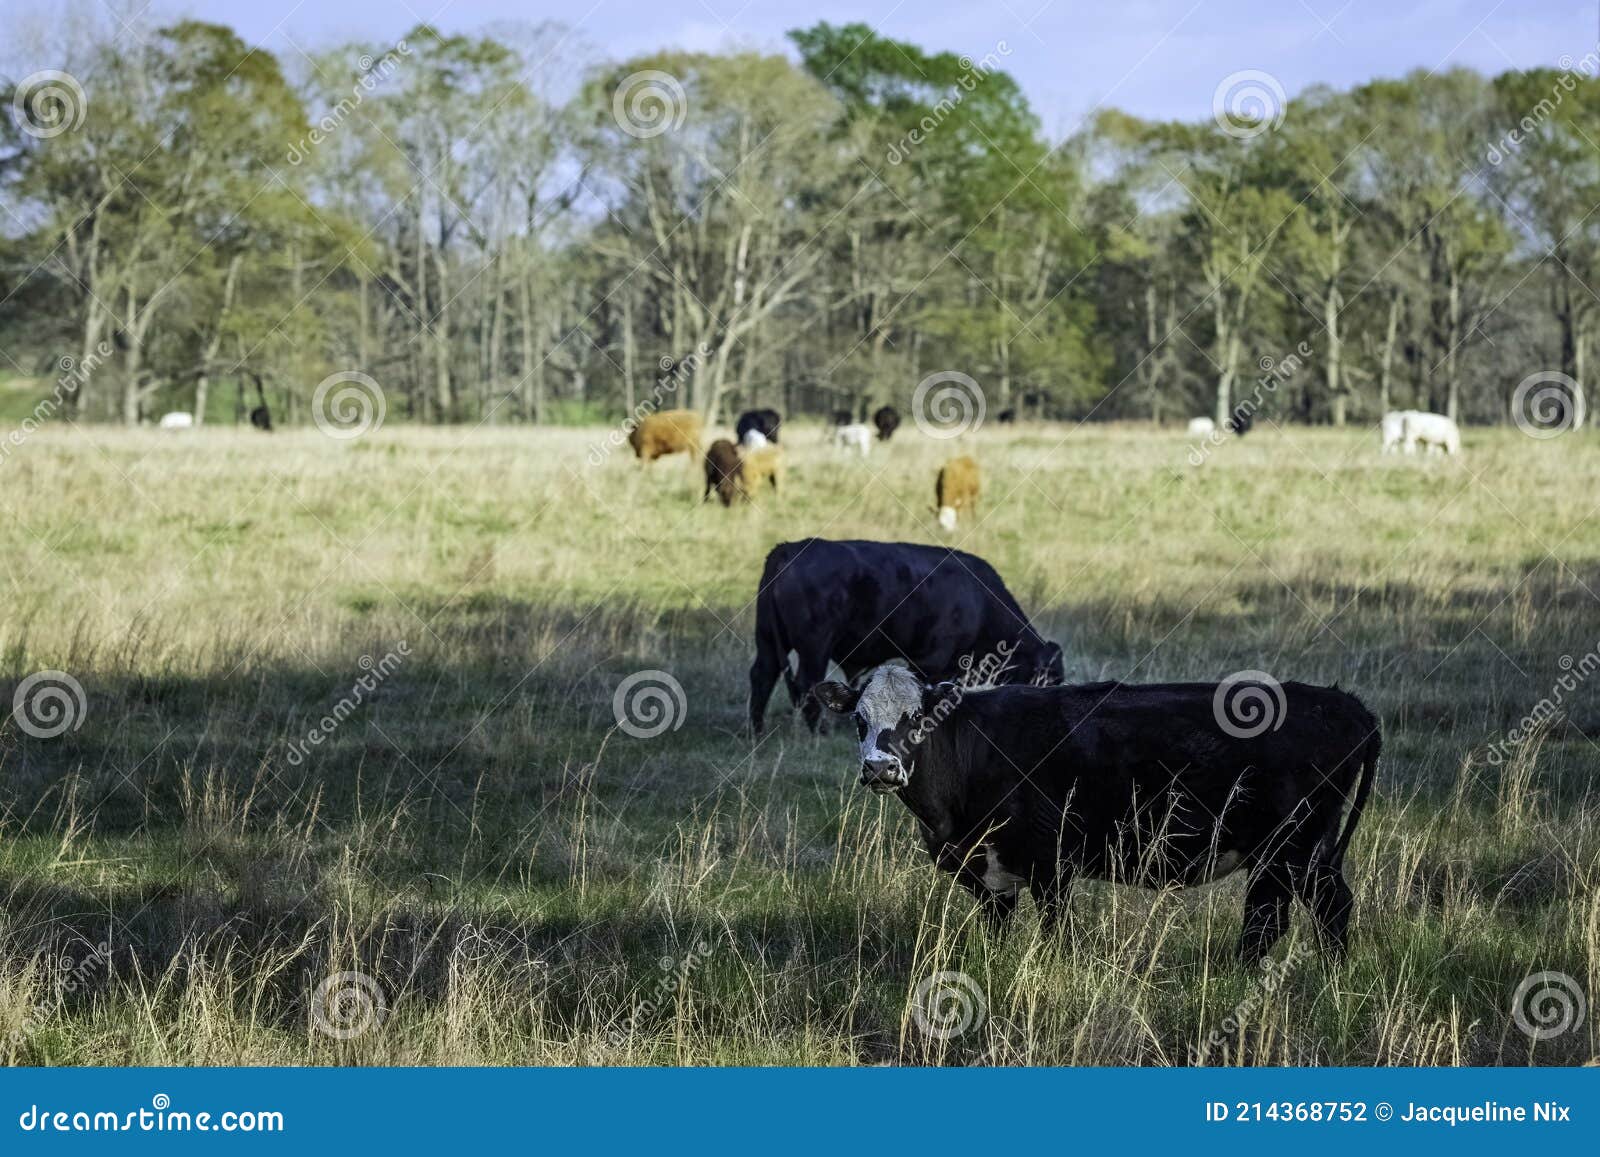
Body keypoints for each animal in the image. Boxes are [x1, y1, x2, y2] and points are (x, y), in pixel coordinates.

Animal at [748, 539, 1065, 734]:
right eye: (1049, 678)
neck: (980, 599)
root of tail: (789, 549)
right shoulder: (933, 662)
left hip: (767, 640)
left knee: (763, 675)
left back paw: (757, 729)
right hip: (815, 649)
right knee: (807, 683)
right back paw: (818, 731)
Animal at [813, 665, 1380, 963]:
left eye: (917, 718)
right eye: (859, 719)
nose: (880, 768)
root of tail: (1345, 705)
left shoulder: (1050, 864)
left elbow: (1058, 934)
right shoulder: (989, 873)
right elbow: (998, 932)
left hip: (1291, 847)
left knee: (1298, 913)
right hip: (1297, 852)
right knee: (1299, 912)